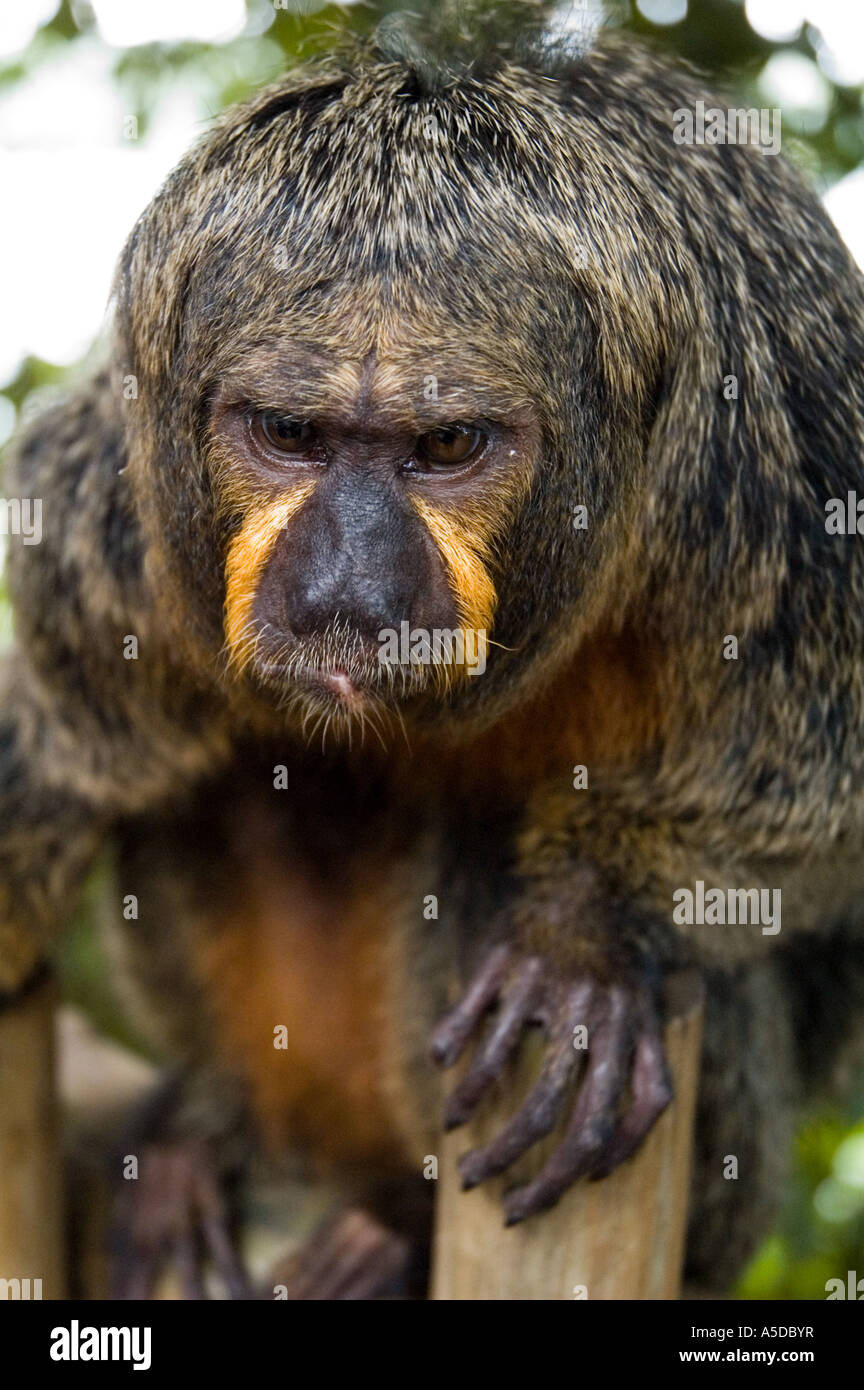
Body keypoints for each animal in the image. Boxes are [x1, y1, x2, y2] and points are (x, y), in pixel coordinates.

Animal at [3, 4, 864, 1299]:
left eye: (447, 444)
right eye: (290, 433)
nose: (350, 590)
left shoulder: (773, 471)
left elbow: (829, 807)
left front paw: (587, 927)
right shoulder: (117, 531)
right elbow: (65, 732)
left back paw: (401, 1226)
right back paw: (208, 1132)